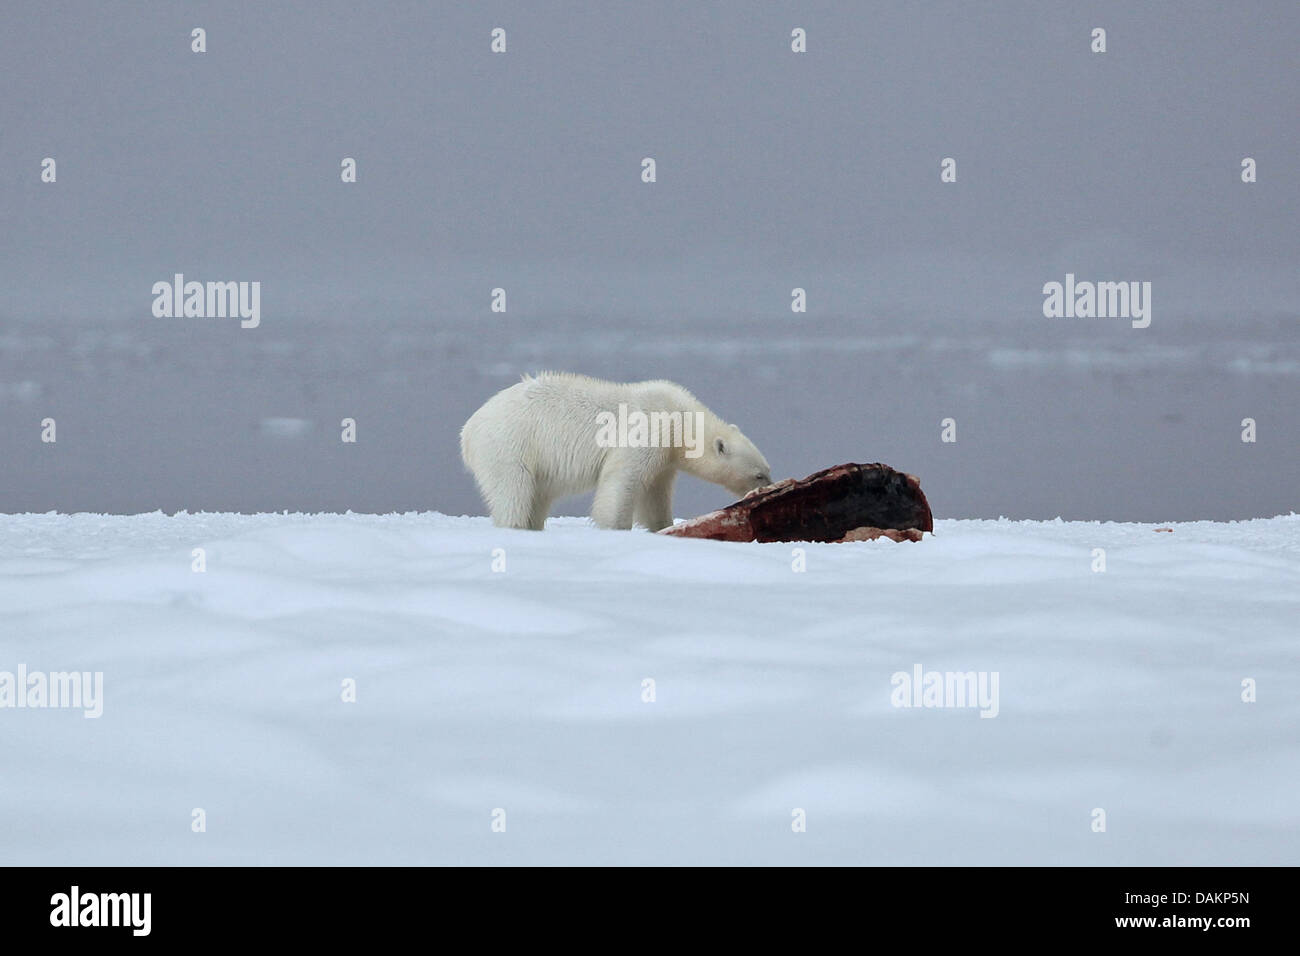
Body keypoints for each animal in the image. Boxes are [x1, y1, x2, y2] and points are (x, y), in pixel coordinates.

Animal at [460, 372, 772, 531]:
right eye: (759, 474)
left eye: (767, 471)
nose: (769, 484)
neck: (679, 419)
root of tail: (467, 431)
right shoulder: (647, 431)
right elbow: (623, 480)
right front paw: (615, 529)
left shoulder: (665, 458)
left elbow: (655, 494)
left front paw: (662, 526)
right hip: (510, 446)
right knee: (513, 491)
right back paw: (515, 526)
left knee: (537, 496)